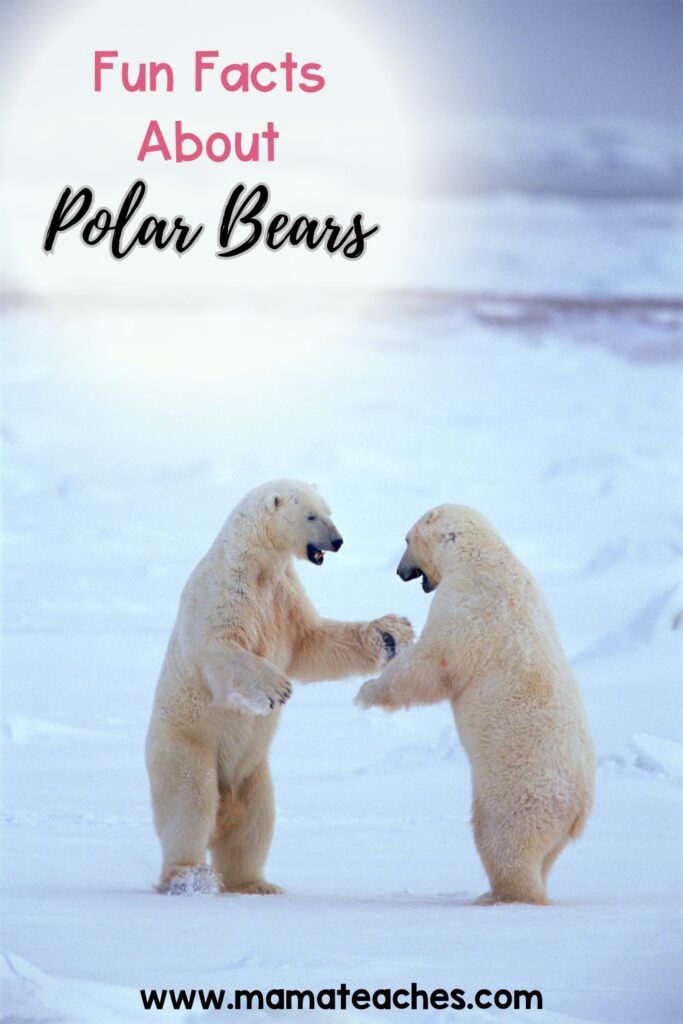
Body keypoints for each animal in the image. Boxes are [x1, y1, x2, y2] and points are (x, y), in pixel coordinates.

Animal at [146, 479, 414, 895]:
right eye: (312, 515)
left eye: (329, 510)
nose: (338, 541)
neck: (256, 563)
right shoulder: (225, 593)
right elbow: (220, 648)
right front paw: (276, 689)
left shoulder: (283, 596)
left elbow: (314, 642)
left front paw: (390, 635)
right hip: (186, 745)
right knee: (191, 803)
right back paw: (190, 876)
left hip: (253, 771)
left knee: (256, 821)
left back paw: (256, 884)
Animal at [355, 504, 594, 905]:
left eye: (406, 540)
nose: (400, 571)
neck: (480, 556)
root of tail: (579, 808)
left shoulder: (468, 603)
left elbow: (435, 662)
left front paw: (367, 691)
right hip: (558, 824)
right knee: (547, 856)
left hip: (520, 792)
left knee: (504, 841)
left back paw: (499, 896)